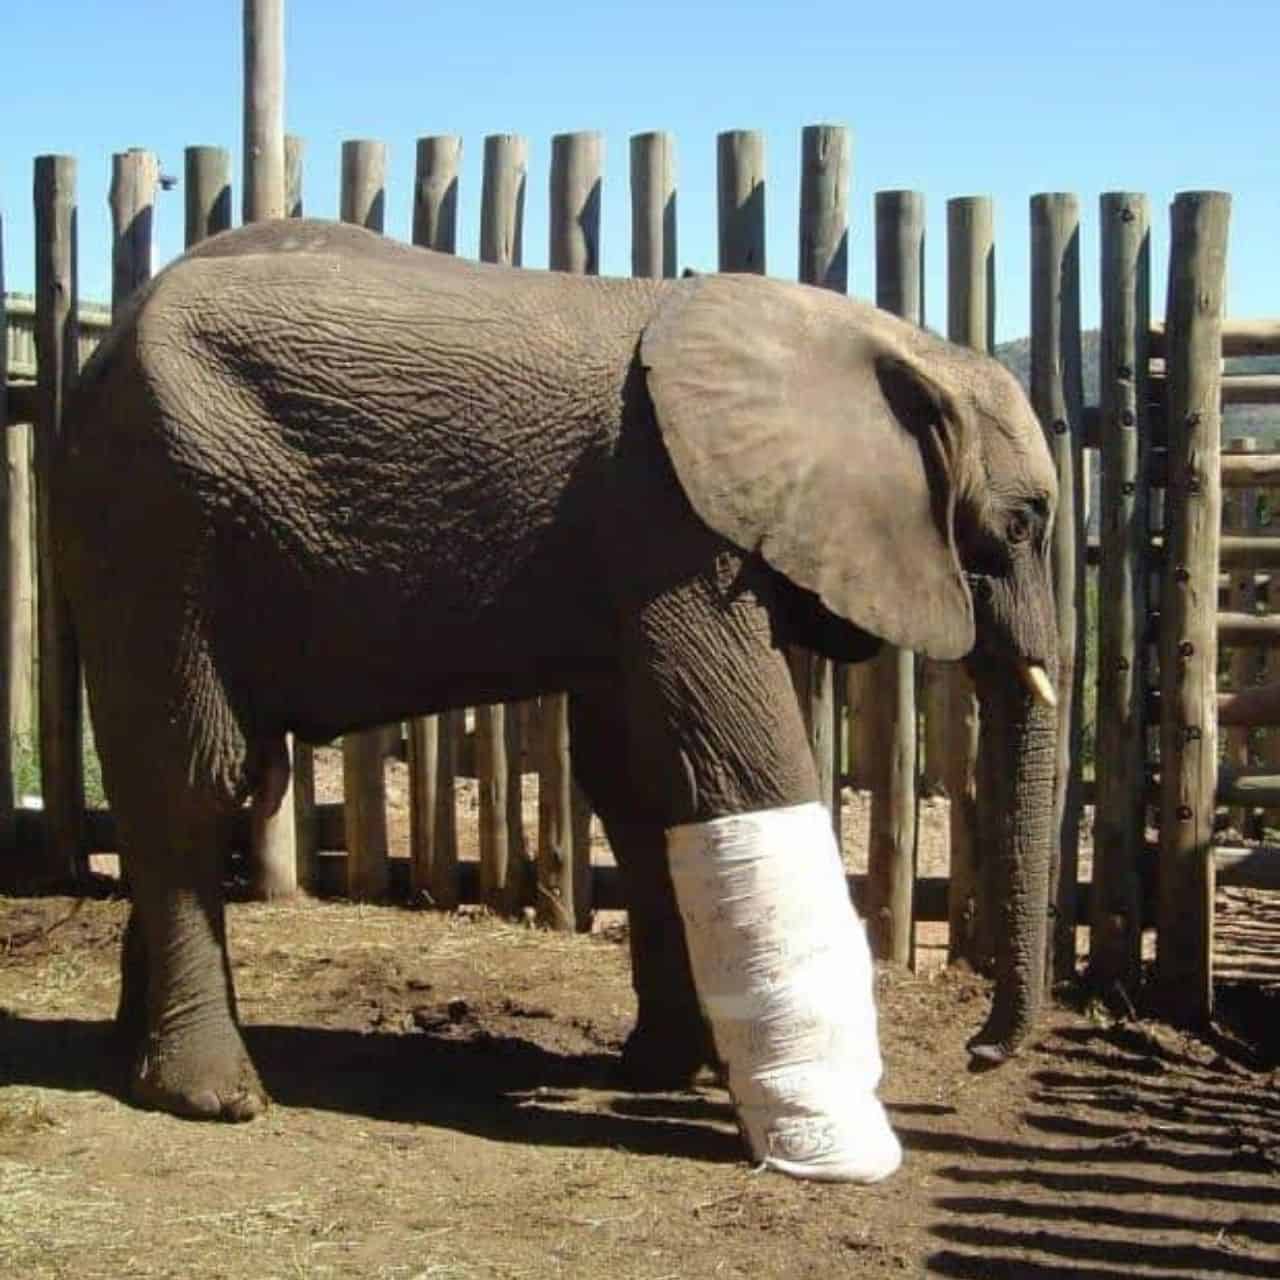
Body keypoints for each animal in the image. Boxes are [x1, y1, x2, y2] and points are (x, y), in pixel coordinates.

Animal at [55, 218, 1058, 1151]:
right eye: (1020, 526)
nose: (979, 1052)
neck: (873, 337)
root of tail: (101, 347)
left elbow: (643, 785)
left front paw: (665, 1073)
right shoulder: (668, 518)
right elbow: (738, 755)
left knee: (217, 783)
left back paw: (126, 1061)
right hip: (155, 520)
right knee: (192, 781)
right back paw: (209, 1097)